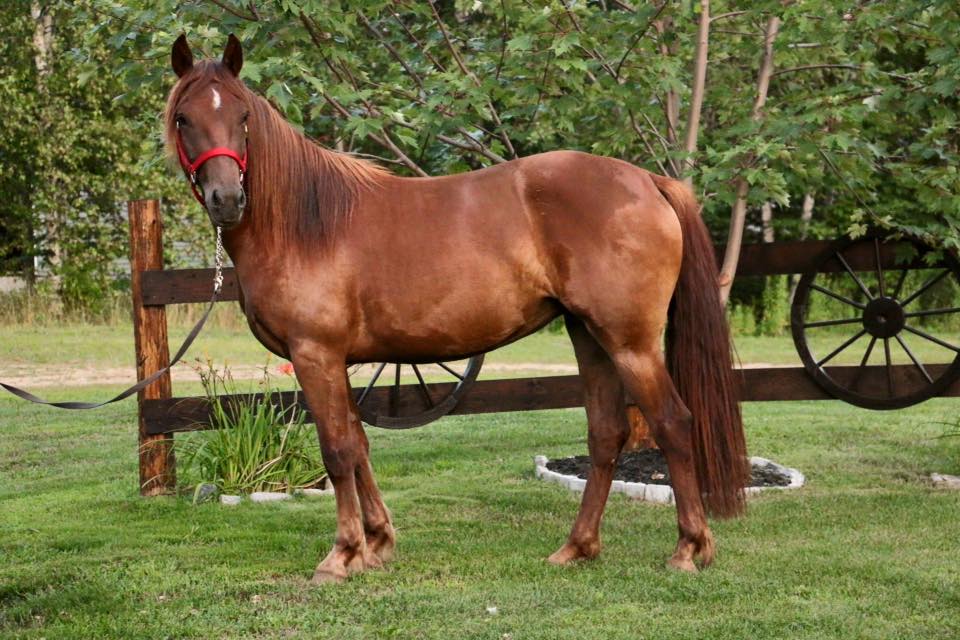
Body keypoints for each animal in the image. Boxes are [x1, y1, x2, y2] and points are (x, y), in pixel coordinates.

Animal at [165, 34, 748, 583]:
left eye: (242, 116)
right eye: (184, 118)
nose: (227, 200)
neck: (305, 223)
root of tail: (649, 180)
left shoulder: (315, 356)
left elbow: (336, 450)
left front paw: (342, 554)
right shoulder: (339, 362)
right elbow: (358, 444)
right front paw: (377, 544)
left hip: (631, 342)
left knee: (673, 423)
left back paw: (688, 549)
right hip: (590, 335)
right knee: (607, 433)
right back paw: (576, 547)